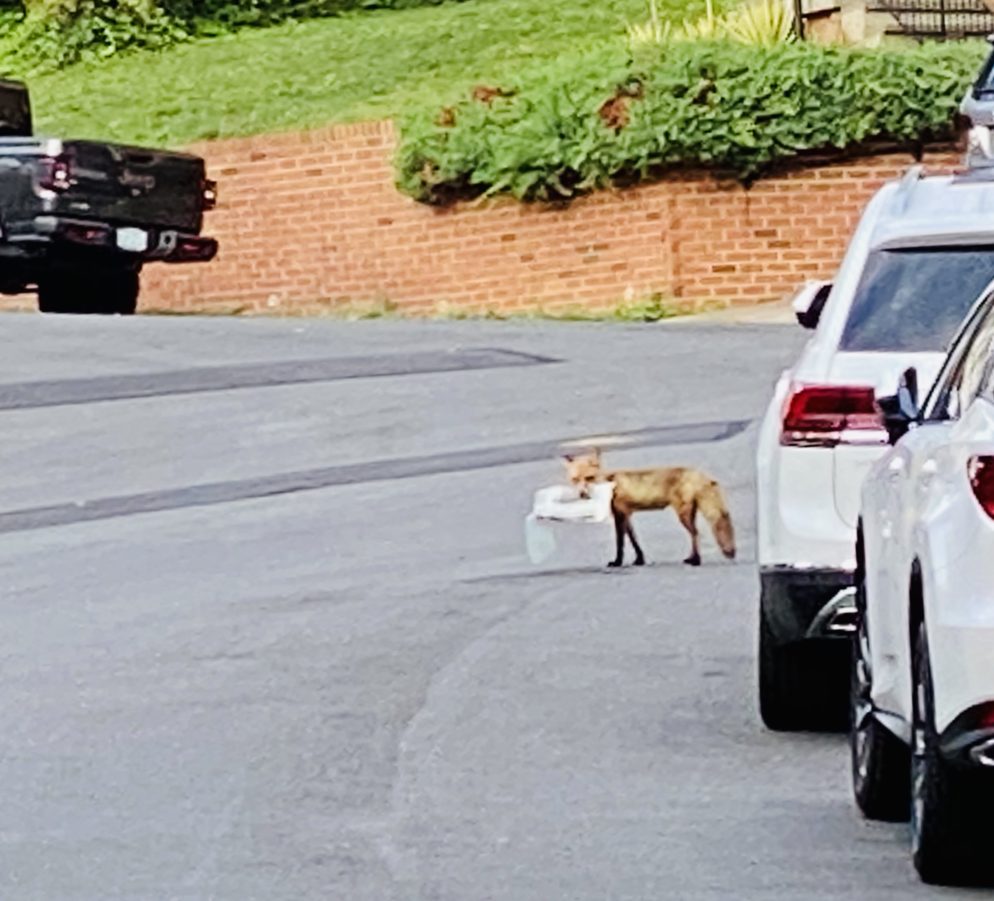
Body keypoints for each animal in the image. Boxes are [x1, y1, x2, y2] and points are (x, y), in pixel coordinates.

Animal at [562, 449, 736, 568]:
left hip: (683, 514)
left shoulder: (619, 515)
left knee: (695, 533)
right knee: (695, 534)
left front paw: (618, 562)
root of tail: (699, 473)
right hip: (689, 513)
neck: (609, 485)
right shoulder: (626, 515)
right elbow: (634, 540)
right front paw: (639, 560)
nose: (583, 494)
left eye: (589, 478)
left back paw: (696, 560)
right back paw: (691, 558)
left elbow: (620, 543)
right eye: (575, 479)